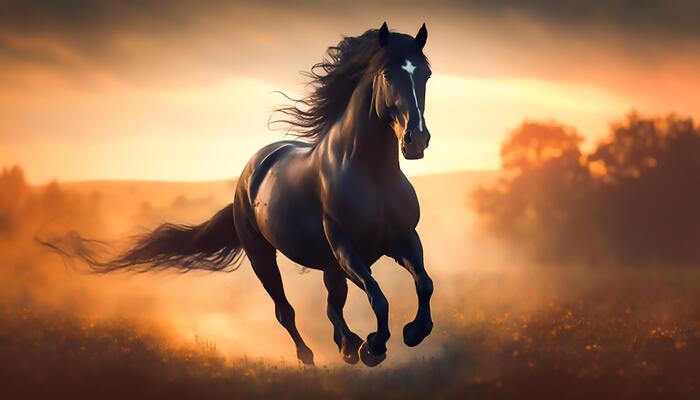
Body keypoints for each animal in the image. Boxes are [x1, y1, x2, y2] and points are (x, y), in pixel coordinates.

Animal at [50, 22, 434, 367]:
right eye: (387, 74)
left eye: (426, 75)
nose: (416, 140)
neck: (371, 176)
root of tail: (250, 172)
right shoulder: (346, 250)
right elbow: (378, 297)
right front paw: (375, 347)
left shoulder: (402, 240)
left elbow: (424, 283)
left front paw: (413, 332)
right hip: (262, 256)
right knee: (285, 310)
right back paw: (313, 356)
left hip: (325, 263)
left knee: (331, 305)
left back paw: (347, 346)